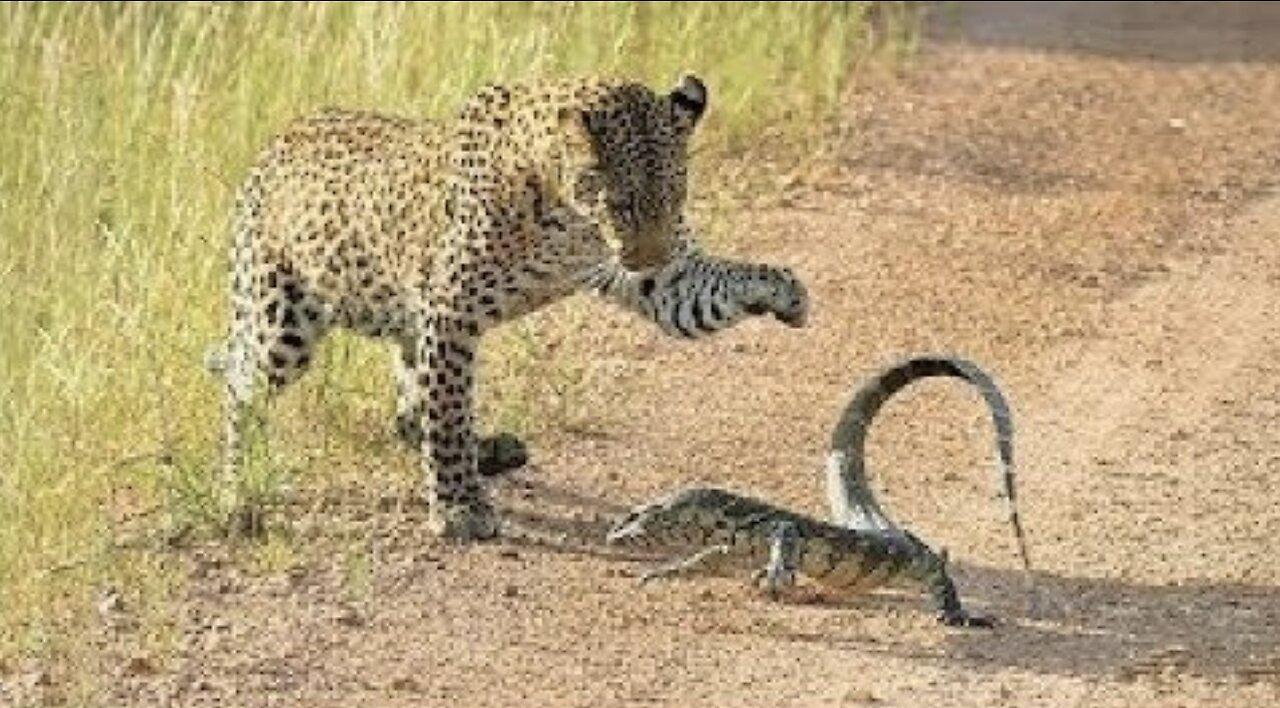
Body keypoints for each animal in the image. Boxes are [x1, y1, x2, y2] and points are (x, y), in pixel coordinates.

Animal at [217, 74, 809, 540]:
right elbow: (449, 413)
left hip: (399, 326)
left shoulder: (667, 281)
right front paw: (459, 509)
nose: (649, 258)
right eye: (622, 203)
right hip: (281, 322)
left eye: (675, 198)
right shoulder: (450, 311)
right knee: (238, 382)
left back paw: (494, 451)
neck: (570, 217)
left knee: (407, 410)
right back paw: (236, 489)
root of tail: (281, 138)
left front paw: (783, 289)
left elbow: (713, 284)